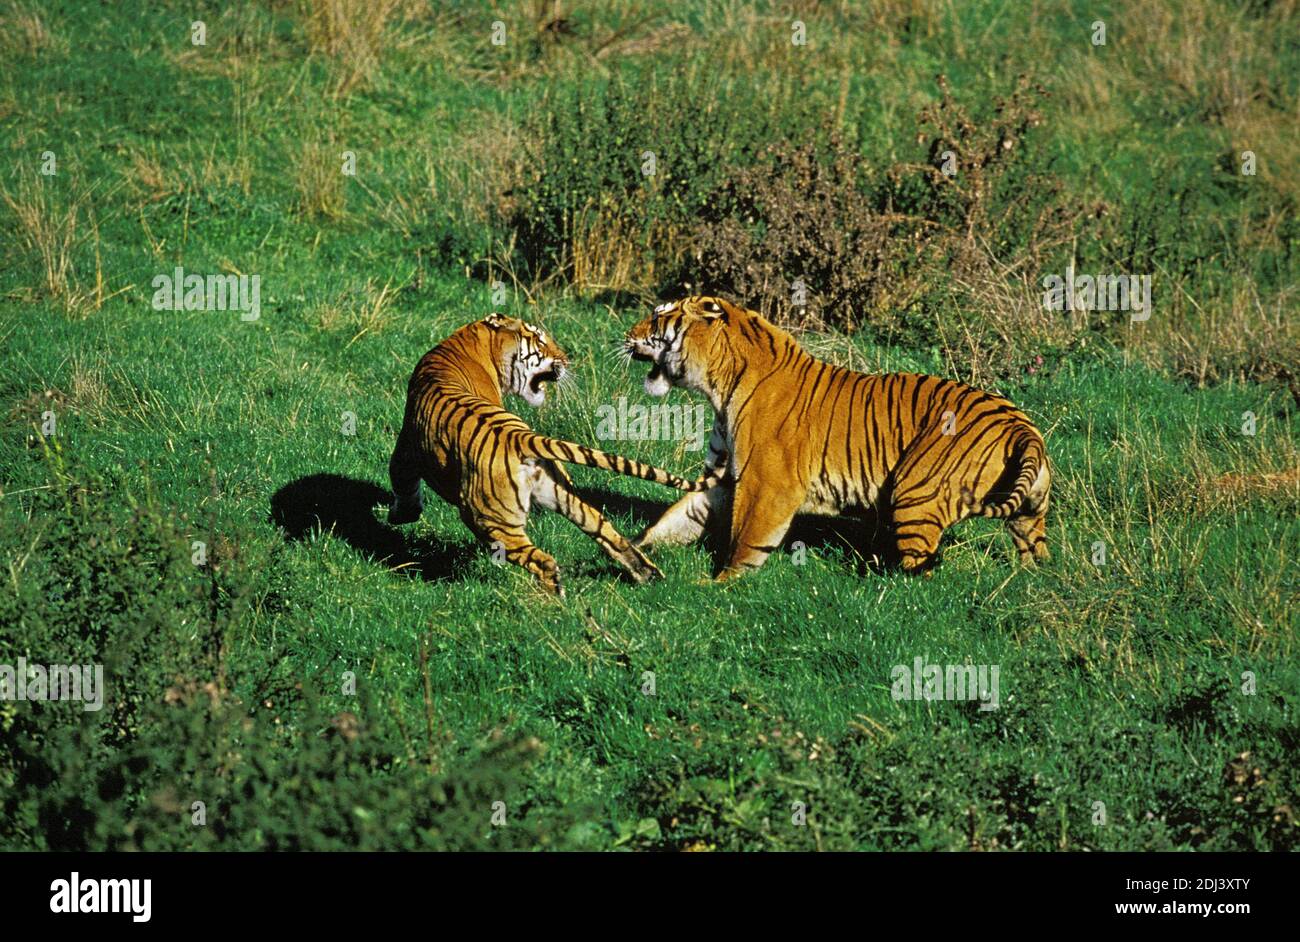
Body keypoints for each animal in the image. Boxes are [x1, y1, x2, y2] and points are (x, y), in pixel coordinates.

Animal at [388, 314, 722, 596]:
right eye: (539, 340)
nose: (565, 359)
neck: (473, 343)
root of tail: (520, 437)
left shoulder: (405, 446)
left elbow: (402, 482)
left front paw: (401, 517)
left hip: (488, 519)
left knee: (541, 559)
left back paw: (553, 597)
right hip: (565, 495)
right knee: (605, 529)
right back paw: (647, 575)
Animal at [622, 295, 1051, 580]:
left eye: (658, 317)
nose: (626, 335)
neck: (717, 384)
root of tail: (1021, 427)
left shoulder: (767, 483)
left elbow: (746, 536)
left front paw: (719, 584)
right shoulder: (726, 478)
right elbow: (681, 516)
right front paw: (634, 546)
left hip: (916, 493)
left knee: (923, 574)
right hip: (1029, 510)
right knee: (1033, 547)